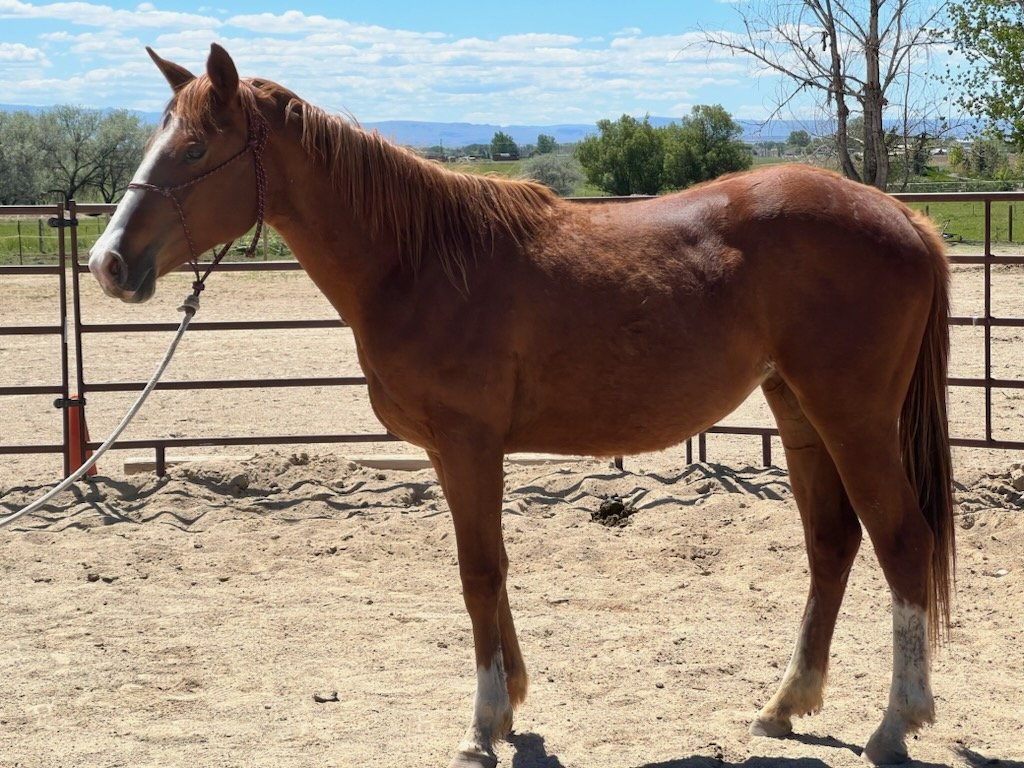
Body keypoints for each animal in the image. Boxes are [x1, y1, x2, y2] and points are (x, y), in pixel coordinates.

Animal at [89, 44, 955, 767]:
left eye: (195, 150)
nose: (107, 263)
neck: (421, 261)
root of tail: (902, 217)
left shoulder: (469, 444)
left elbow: (478, 572)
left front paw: (481, 726)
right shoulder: (457, 453)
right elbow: (493, 570)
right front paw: (509, 706)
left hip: (853, 417)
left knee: (902, 541)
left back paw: (896, 723)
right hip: (799, 410)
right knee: (831, 544)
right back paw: (785, 704)